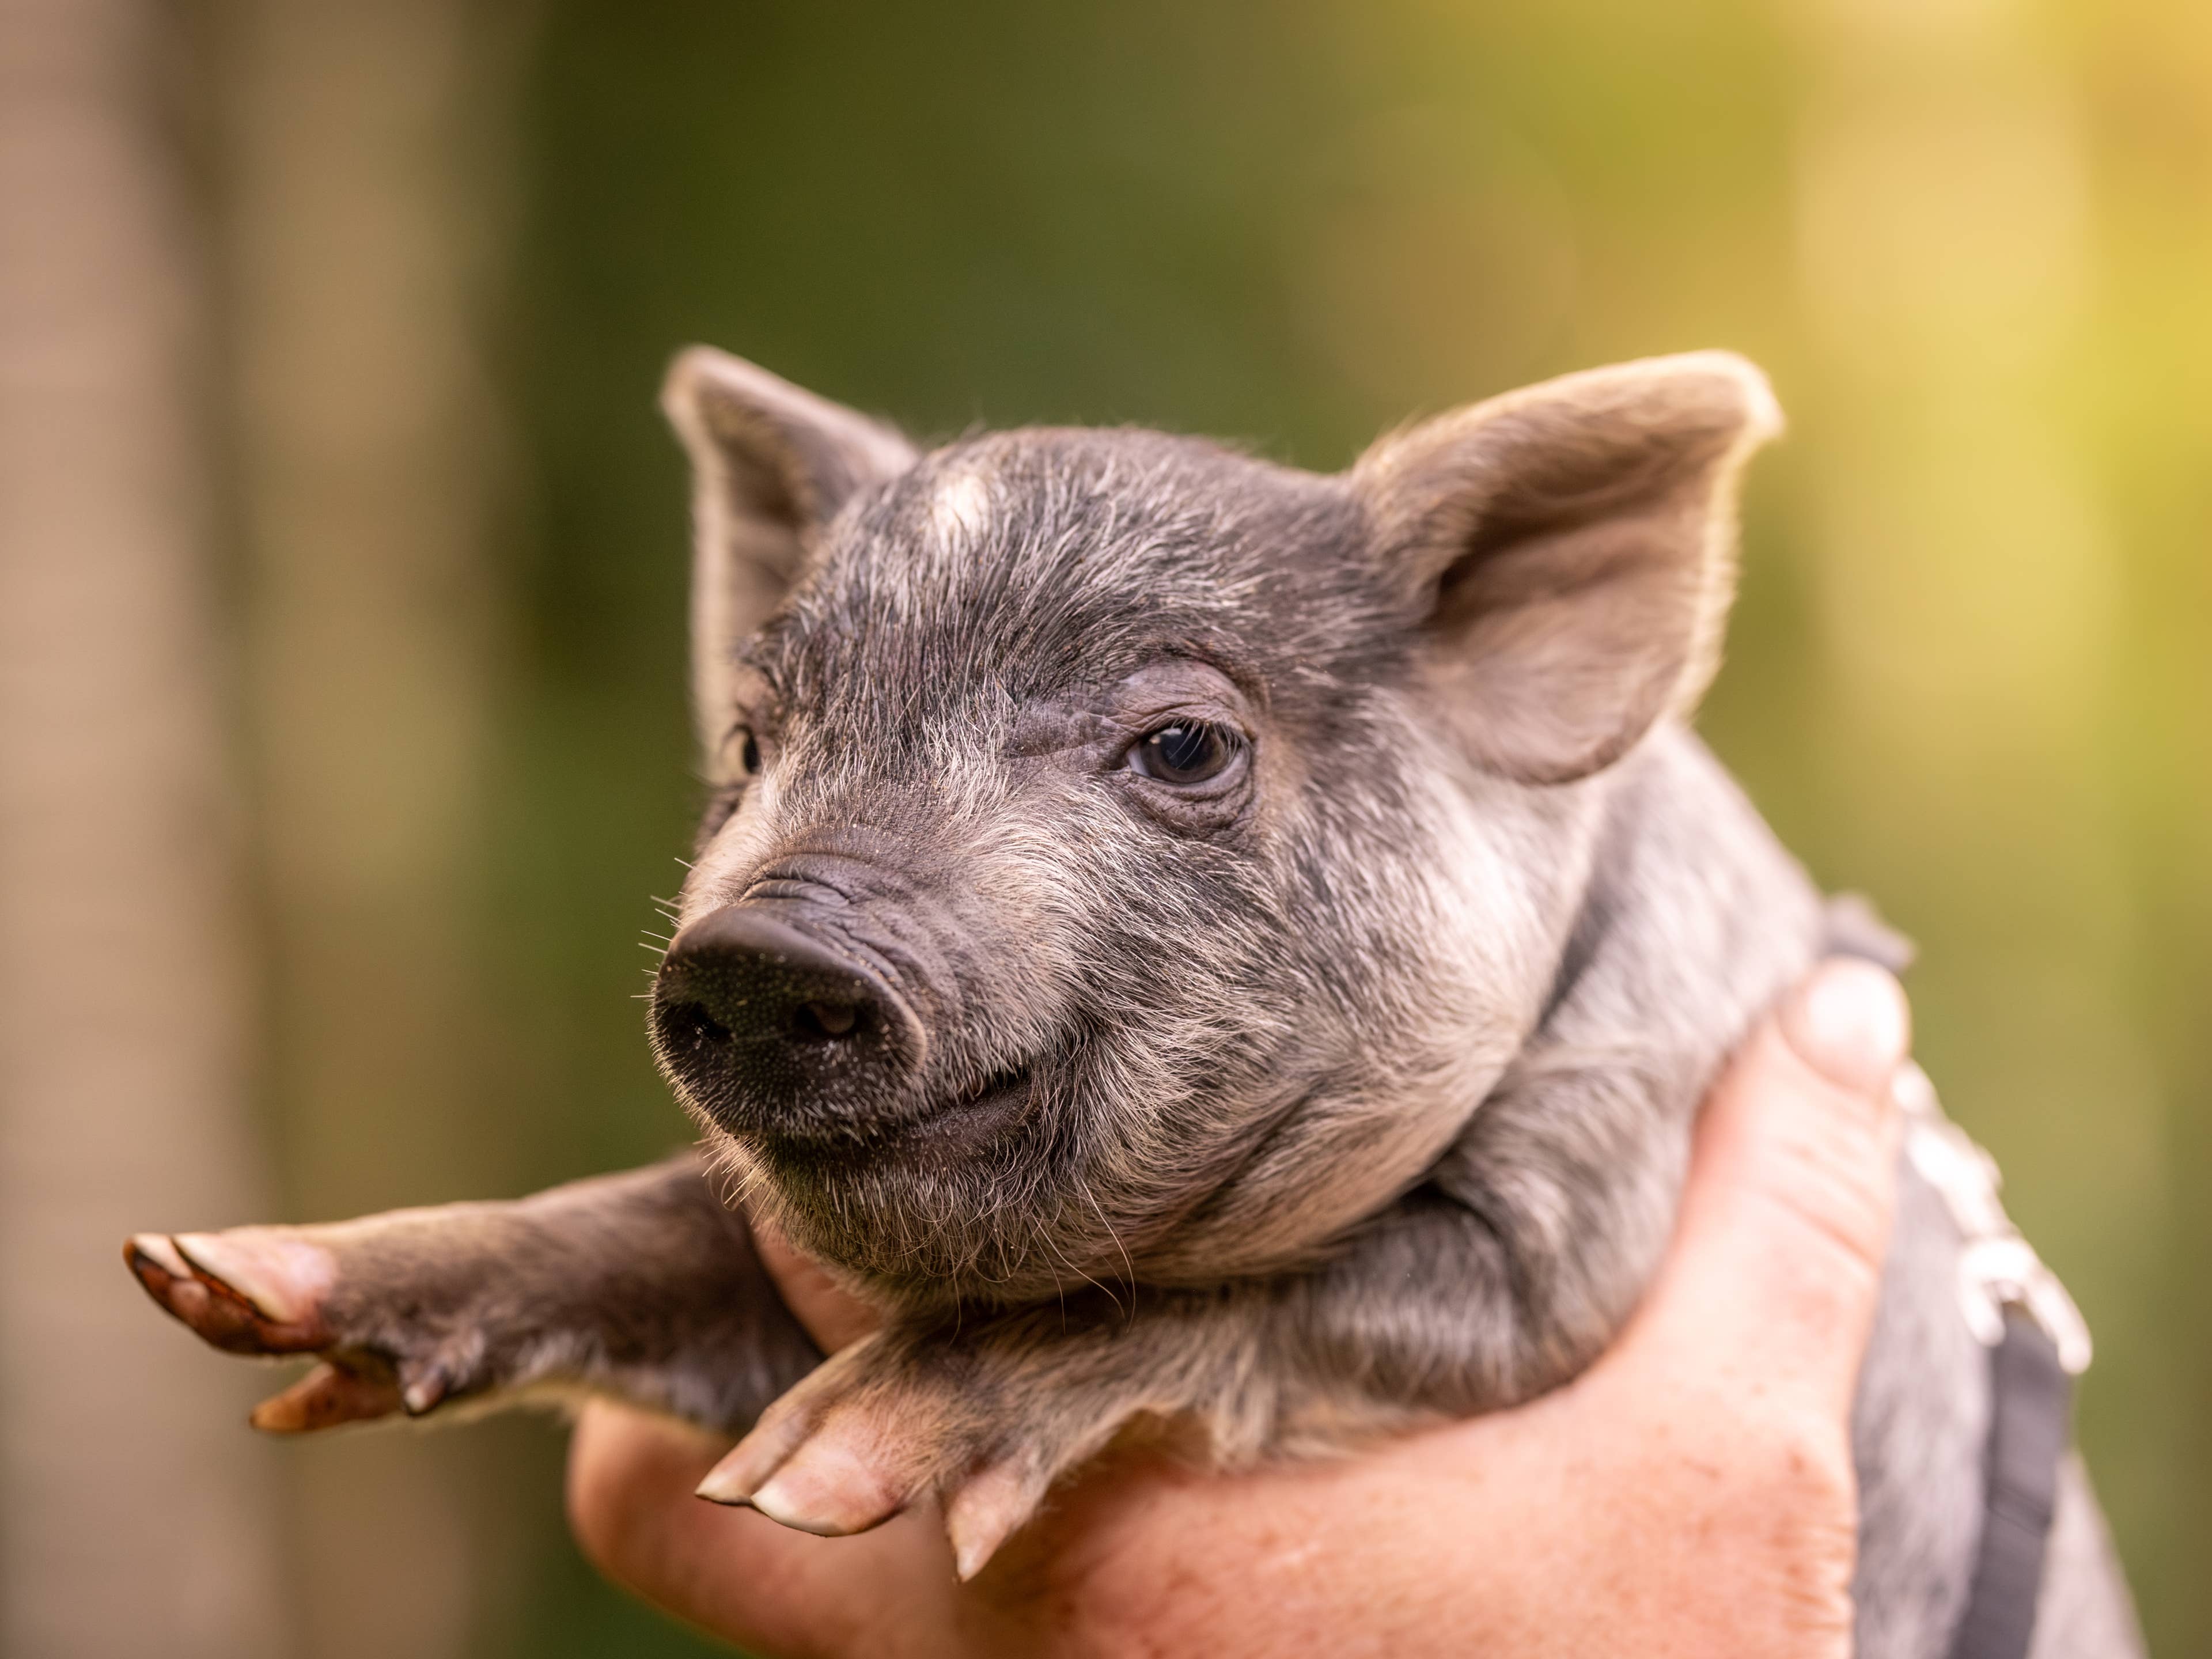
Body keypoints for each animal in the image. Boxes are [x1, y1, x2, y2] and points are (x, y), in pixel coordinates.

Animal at [127, 348, 2142, 1657]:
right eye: (754, 743)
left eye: (1182, 745)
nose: (772, 952)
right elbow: (634, 1230)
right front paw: (218, 1280)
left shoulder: (1577, 1233)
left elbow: (1240, 1296)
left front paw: (823, 1470)